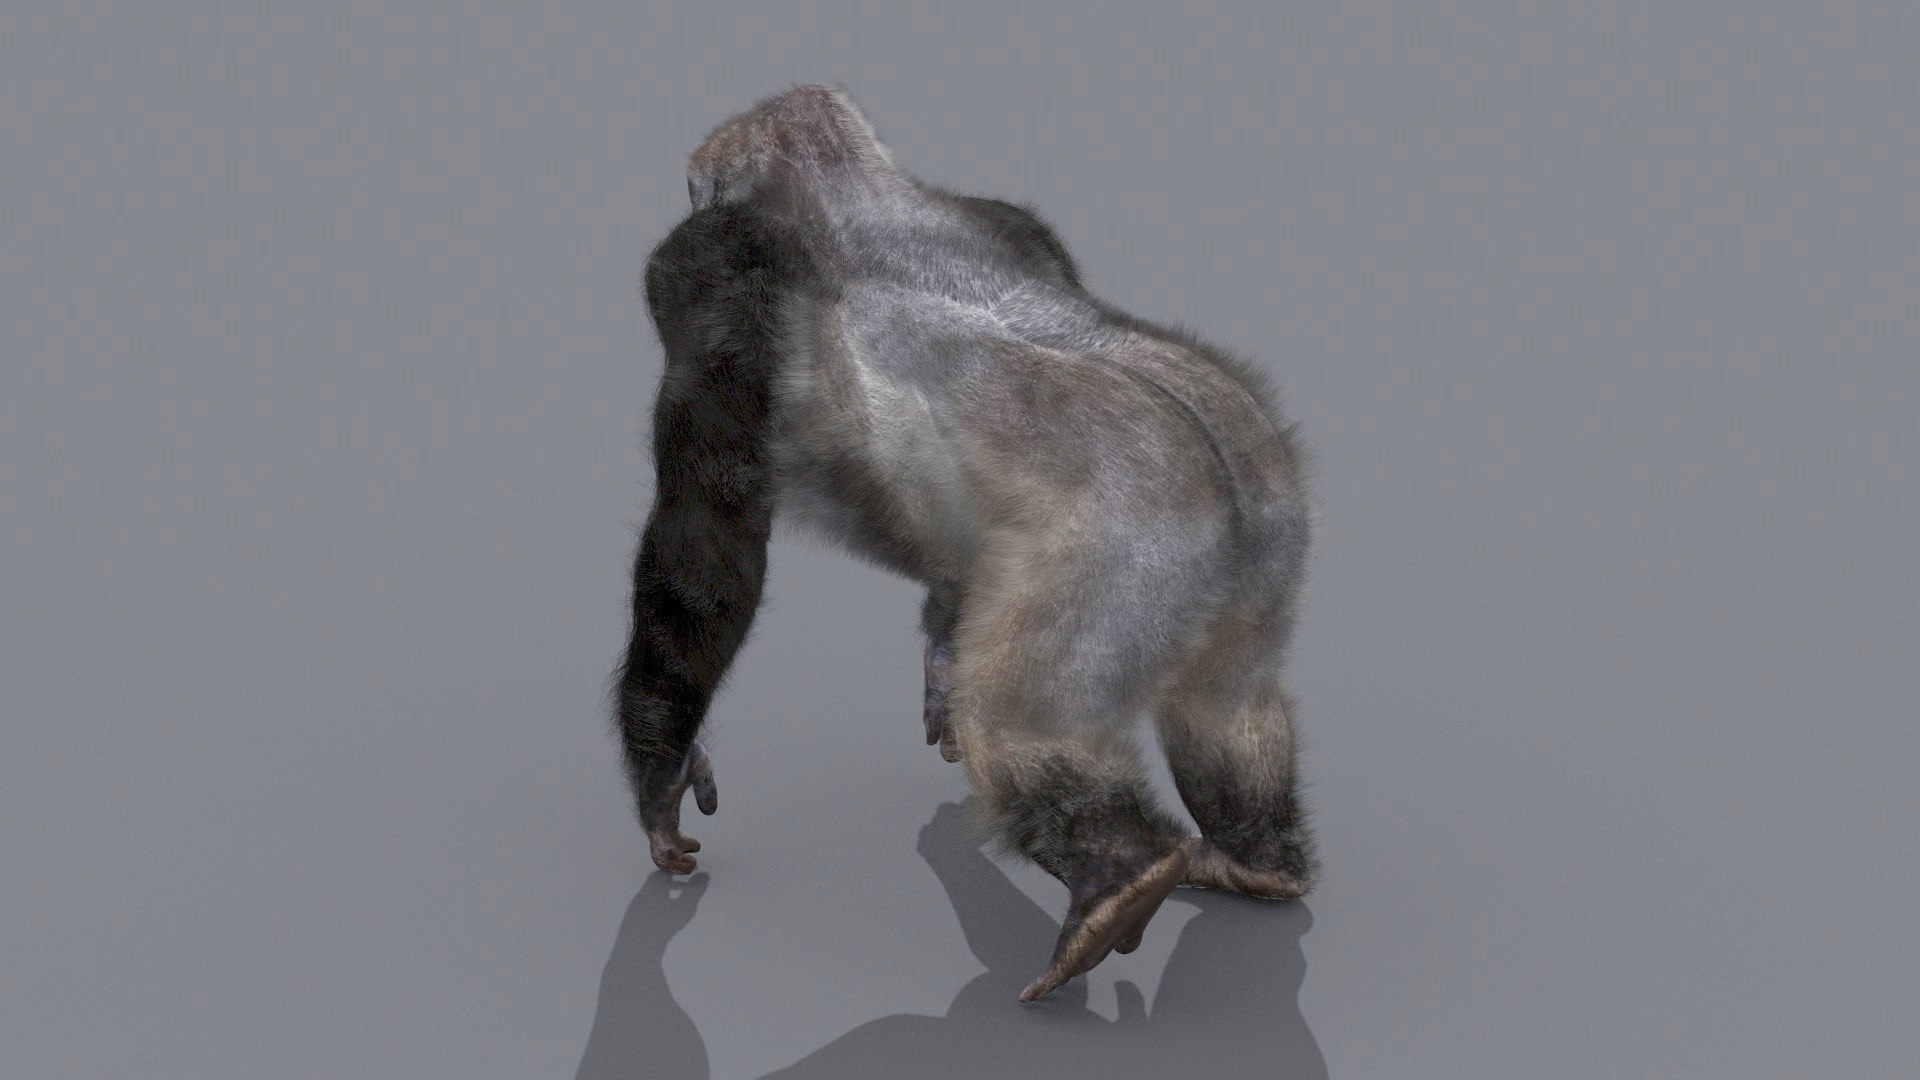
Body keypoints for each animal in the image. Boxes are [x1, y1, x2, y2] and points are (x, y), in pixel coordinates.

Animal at [614, 85, 1319, 1003]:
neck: (848, 177)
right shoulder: (1018, 221)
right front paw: (938, 665)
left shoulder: (704, 270)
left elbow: (703, 542)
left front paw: (657, 772)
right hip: (1267, 541)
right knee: (1228, 708)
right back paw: (1252, 862)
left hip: (1132, 550)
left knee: (1018, 719)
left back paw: (1115, 886)